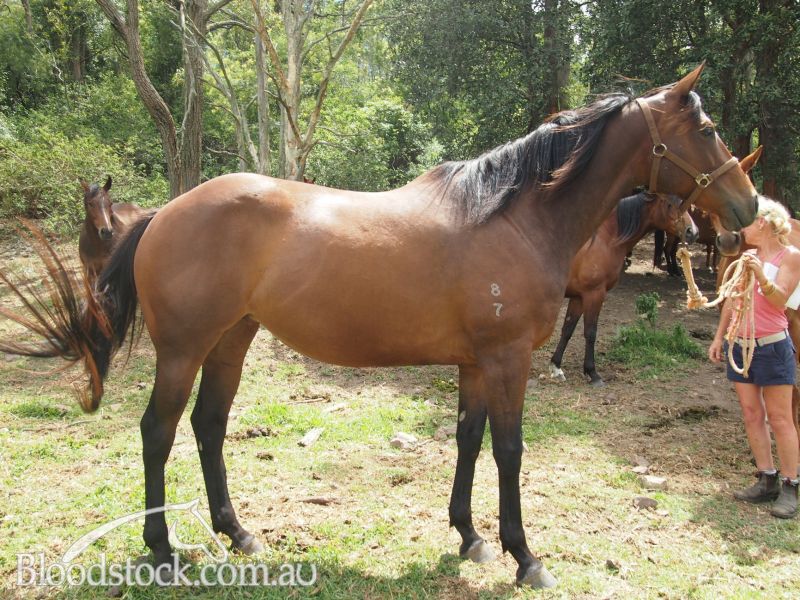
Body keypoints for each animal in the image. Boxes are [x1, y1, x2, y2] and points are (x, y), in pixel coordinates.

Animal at [549, 192, 698, 386]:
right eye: (669, 204)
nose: (692, 231)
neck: (605, 238)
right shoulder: (594, 294)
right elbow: (590, 332)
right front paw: (592, 373)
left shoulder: (579, 297)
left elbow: (568, 329)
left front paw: (556, 367)